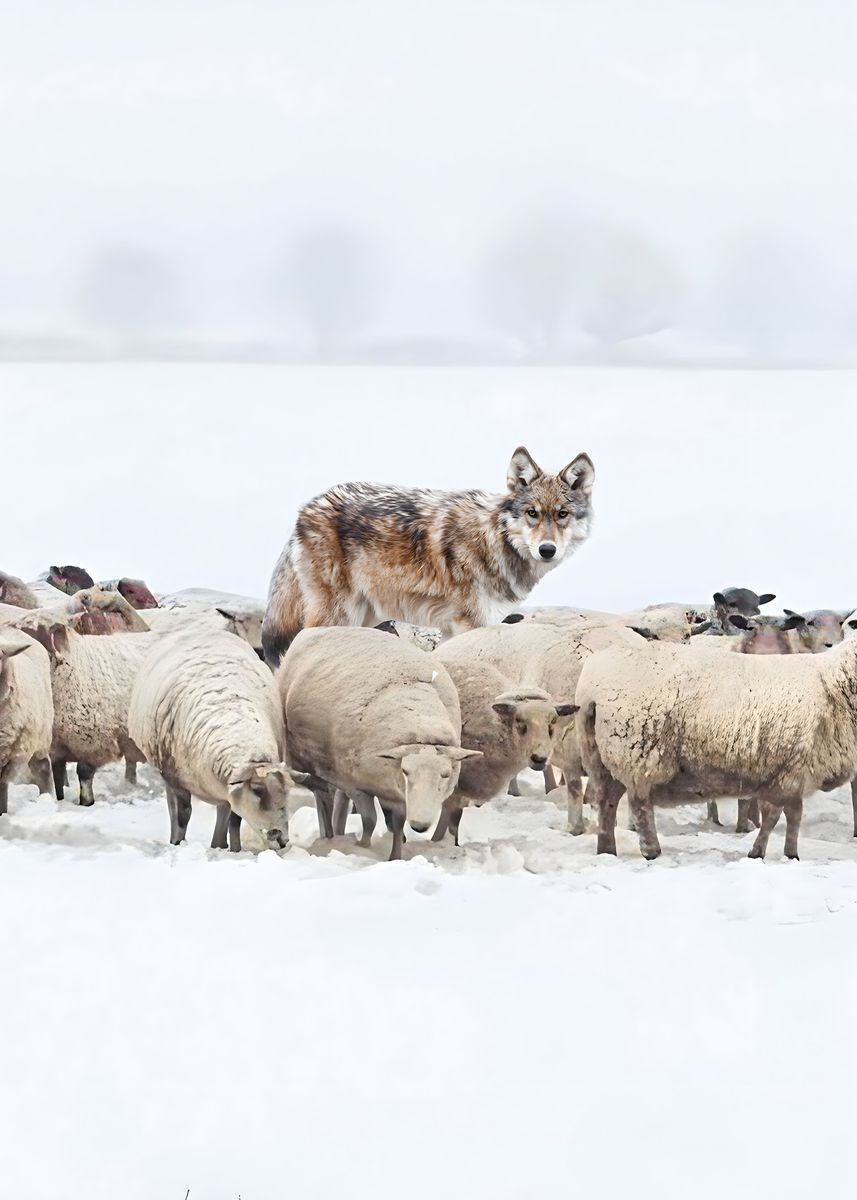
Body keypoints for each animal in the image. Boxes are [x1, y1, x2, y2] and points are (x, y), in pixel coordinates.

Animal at [16, 617, 153, 805]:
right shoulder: (56, 749)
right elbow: (58, 780)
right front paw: (60, 800)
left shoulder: (92, 744)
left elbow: (84, 774)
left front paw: (86, 802)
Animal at [129, 627, 303, 851]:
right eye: (257, 790)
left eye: (287, 791)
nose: (281, 839)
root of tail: (203, 630)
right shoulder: (175, 777)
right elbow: (183, 814)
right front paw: (178, 843)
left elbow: (234, 818)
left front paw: (234, 850)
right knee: (174, 807)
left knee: (224, 809)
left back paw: (218, 844)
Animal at [261, 446, 595, 666]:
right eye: (532, 513)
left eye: (562, 514)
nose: (547, 550)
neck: (494, 538)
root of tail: (308, 506)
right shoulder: (471, 624)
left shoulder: (457, 628)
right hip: (337, 615)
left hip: (363, 616)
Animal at [278, 626, 480, 860]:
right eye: (406, 771)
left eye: (445, 775)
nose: (419, 826)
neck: (421, 723)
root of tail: (316, 629)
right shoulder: (356, 786)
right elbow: (369, 821)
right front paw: (362, 848)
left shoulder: (394, 793)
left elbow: (398, 823)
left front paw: (395, 856)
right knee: (323, 797)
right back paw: (329, 836)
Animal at [576, 634, 857, 862]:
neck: (832, 685)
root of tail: (591, 690)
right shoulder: (790, 770)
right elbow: (776, 816)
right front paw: (761, 853)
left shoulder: (792, 773)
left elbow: (791, 815)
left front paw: (789, 854)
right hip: (638, 751)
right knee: (639, 806)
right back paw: (651, 850)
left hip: (600, 758)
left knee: (606, 802)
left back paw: (607, 850)